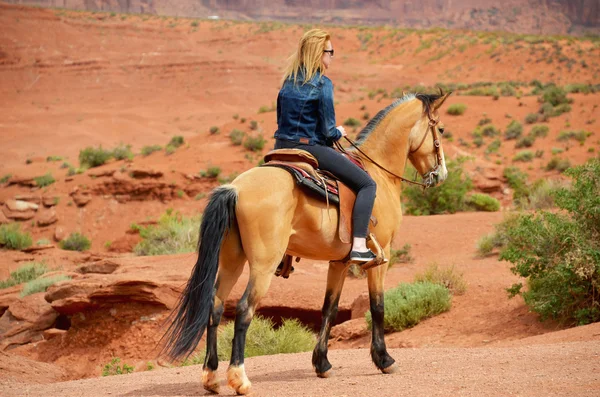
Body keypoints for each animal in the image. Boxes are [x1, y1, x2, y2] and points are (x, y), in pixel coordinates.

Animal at [161, 90, 450, 392]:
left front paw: (322, 364)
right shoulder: (382, 257)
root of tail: (235, 189)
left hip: (231, 261)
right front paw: (384, 360)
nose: (442, 174)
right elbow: (378, 306)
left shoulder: (339, 262)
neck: (378, 173)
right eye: (441, 129)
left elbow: (329, 309)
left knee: (215, 307)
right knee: (243, 310)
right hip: (263, 265)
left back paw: (211, 377)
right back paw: (239, 378)